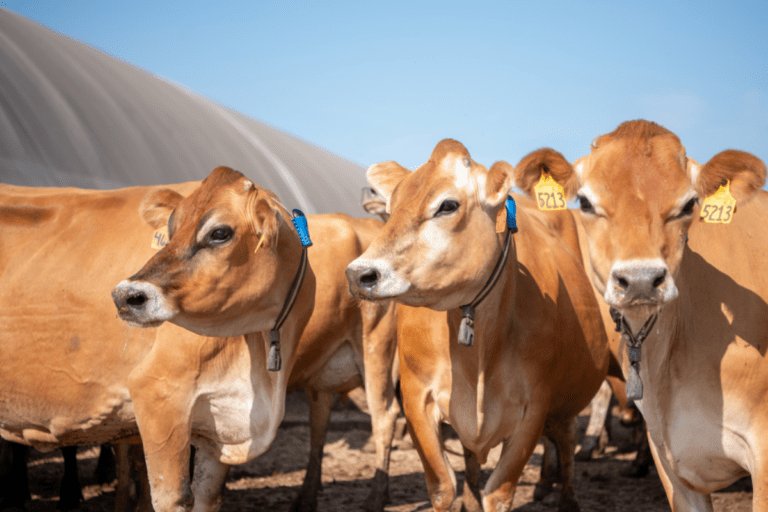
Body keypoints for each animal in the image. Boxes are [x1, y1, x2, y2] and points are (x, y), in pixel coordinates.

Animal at [112, 166, 399, 512]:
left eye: (219, 233)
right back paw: (306, 497)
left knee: (384, 417)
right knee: (320, 422)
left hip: (377, 347)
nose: (126, 296)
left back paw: (376, 497)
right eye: (170, 230)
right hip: (322, 373)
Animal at [345, 139, 610, 512]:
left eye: (447, 205)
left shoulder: (535, 406)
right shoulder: (416, 398)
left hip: (565, 403)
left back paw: (565, 496)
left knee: (565, 439)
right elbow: (443, 486)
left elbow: (499, 492)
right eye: (392, 206)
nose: (358, 274)